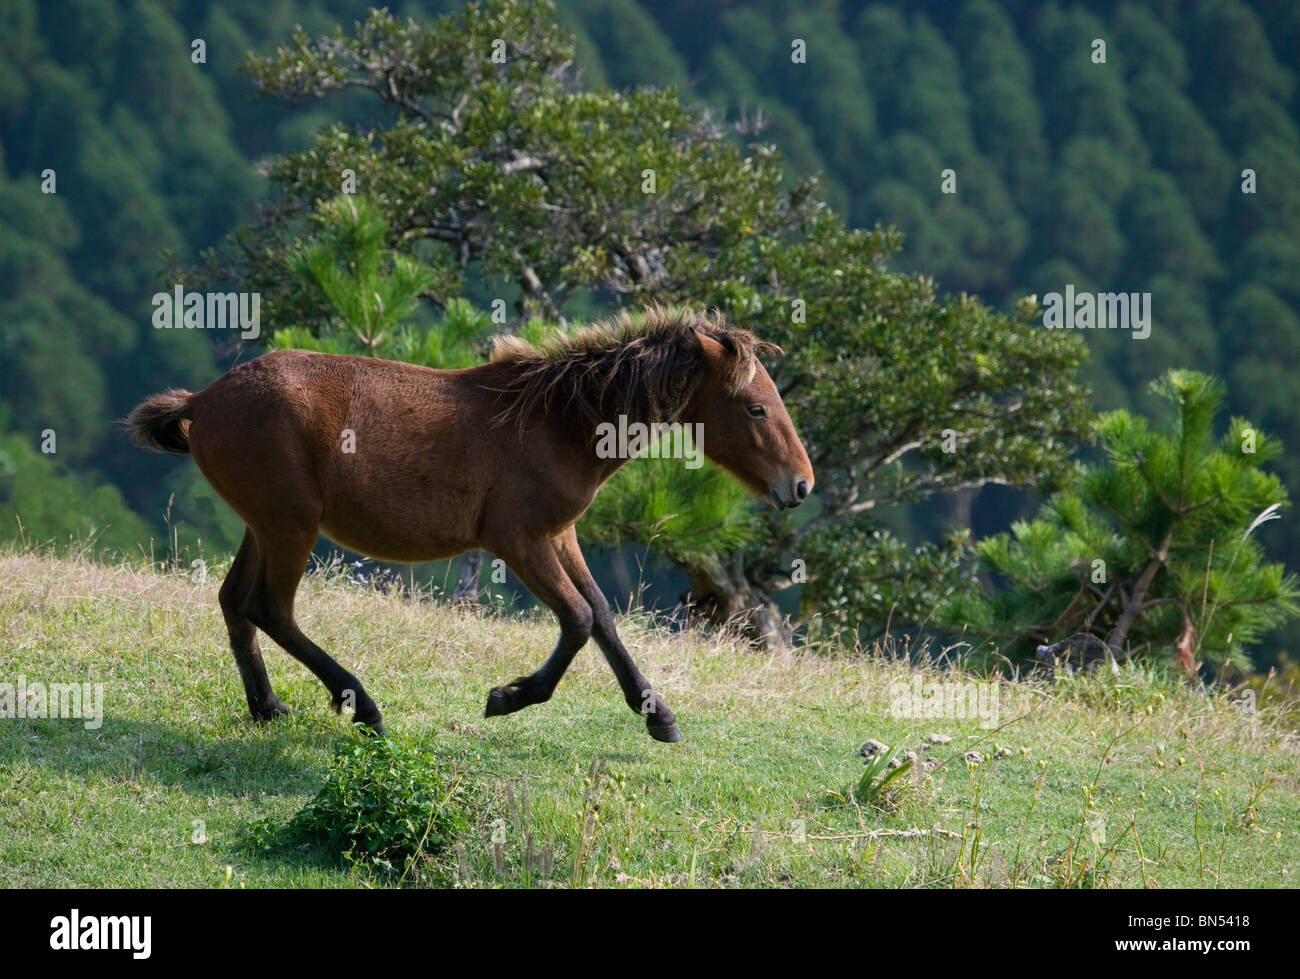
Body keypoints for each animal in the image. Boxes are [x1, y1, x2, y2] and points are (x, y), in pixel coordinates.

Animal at [126, 307, 814, 742]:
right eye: (755, 407)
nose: (800, 484)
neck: (559, 420)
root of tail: (202, 402)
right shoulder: (518, 541)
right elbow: (578, 619)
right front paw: (508, 698)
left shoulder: (559, 536)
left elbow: (602, 616)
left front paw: (657, 715)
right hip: (290, 526)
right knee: (271, 608)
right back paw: (362, 706)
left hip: (265, 525)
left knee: (235, 601)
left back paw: (268, 708)